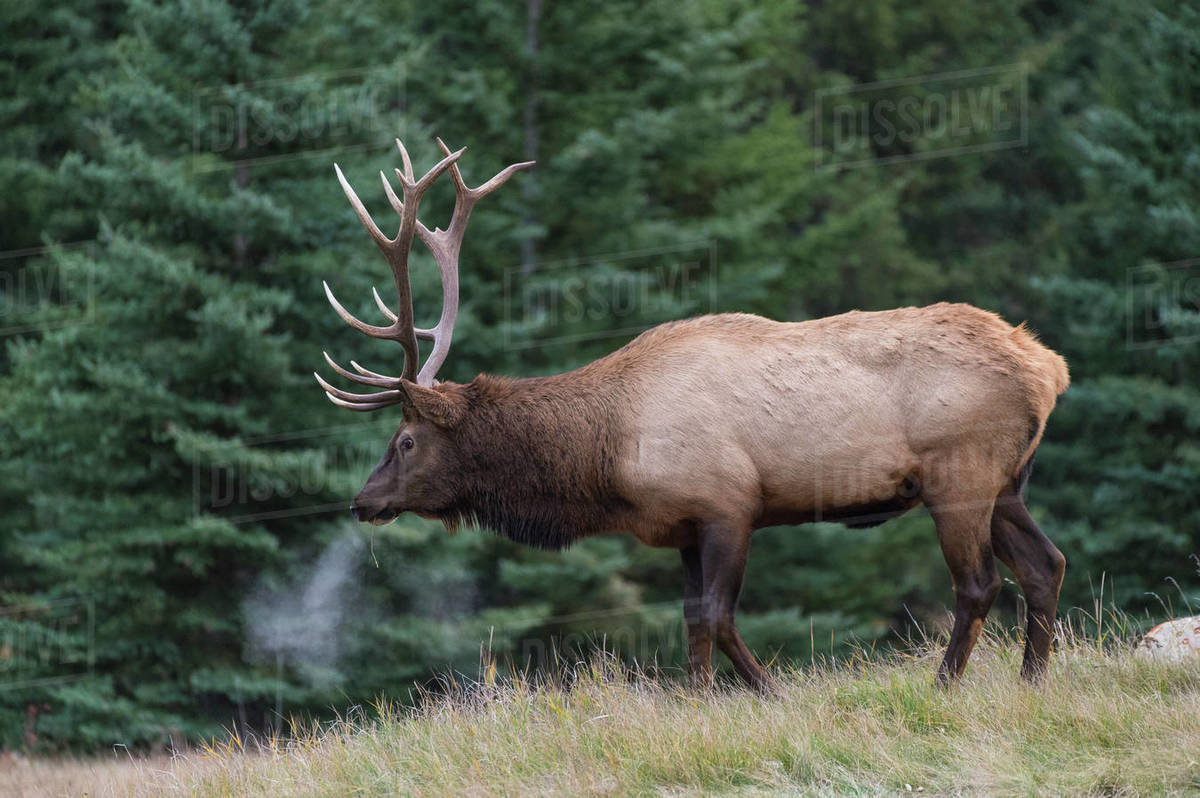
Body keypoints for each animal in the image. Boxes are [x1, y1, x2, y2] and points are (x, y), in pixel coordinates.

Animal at [314, 137, 1071, 691]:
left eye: (405, 440)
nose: (362, 501)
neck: (610, 456)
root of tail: (1048, 367)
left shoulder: (728, 502)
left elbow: (716, 616)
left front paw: (752, 694)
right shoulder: (680, 526)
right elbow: (692, 619)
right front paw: (723, 695)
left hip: (959, 471)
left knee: (978, 584)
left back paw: (944, 686)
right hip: (1007, 482)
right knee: (1046, 564)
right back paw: (1032, 681)